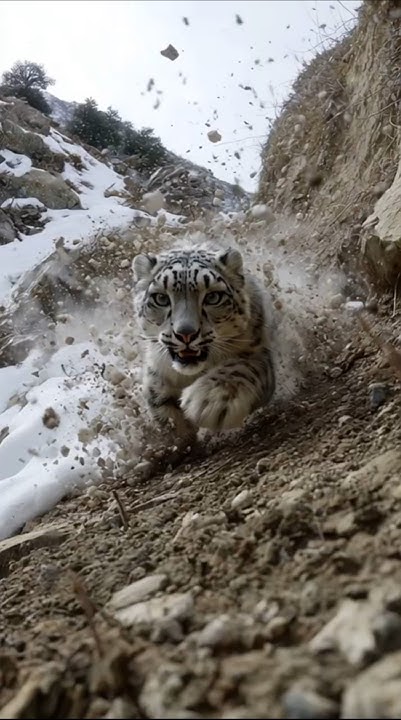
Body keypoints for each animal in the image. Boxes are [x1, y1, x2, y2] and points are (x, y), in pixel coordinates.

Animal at [132, 241, 275, 441]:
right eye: (161, 298)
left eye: (213, 297)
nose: (185, 333)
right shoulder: (156, 368)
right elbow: (158, 397)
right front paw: (176, 432)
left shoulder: (258, 352)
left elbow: (239, 367)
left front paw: (207, 400)